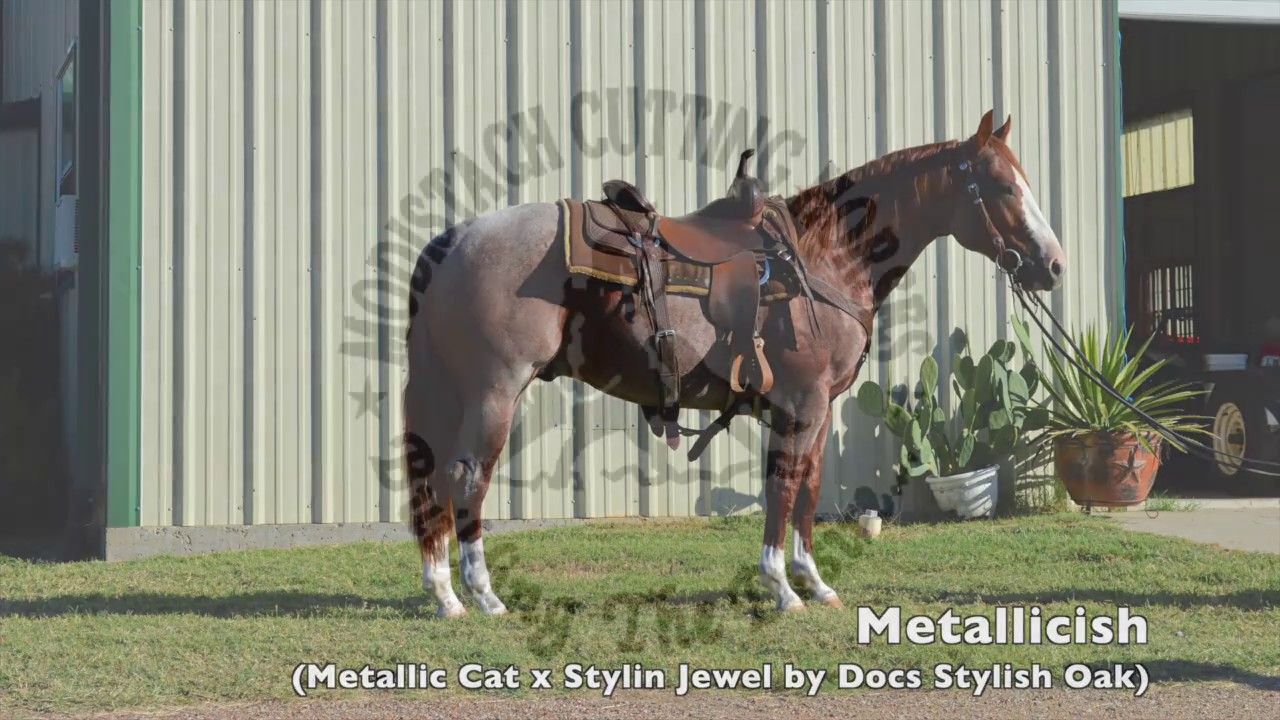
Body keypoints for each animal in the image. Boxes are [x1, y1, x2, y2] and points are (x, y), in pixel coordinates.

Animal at [403, 110, 1066, 617]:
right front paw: (781, 588)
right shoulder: (801, 405)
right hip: (494, 391)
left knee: (435, 481)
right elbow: (784, 488)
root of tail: (455, 242)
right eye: (1003, 188)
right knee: (466, 478)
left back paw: (444, 594)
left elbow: (808, 489)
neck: (824, 260)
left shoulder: (819, 410)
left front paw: (814, 582)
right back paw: (482, 597)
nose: (1054, 266)